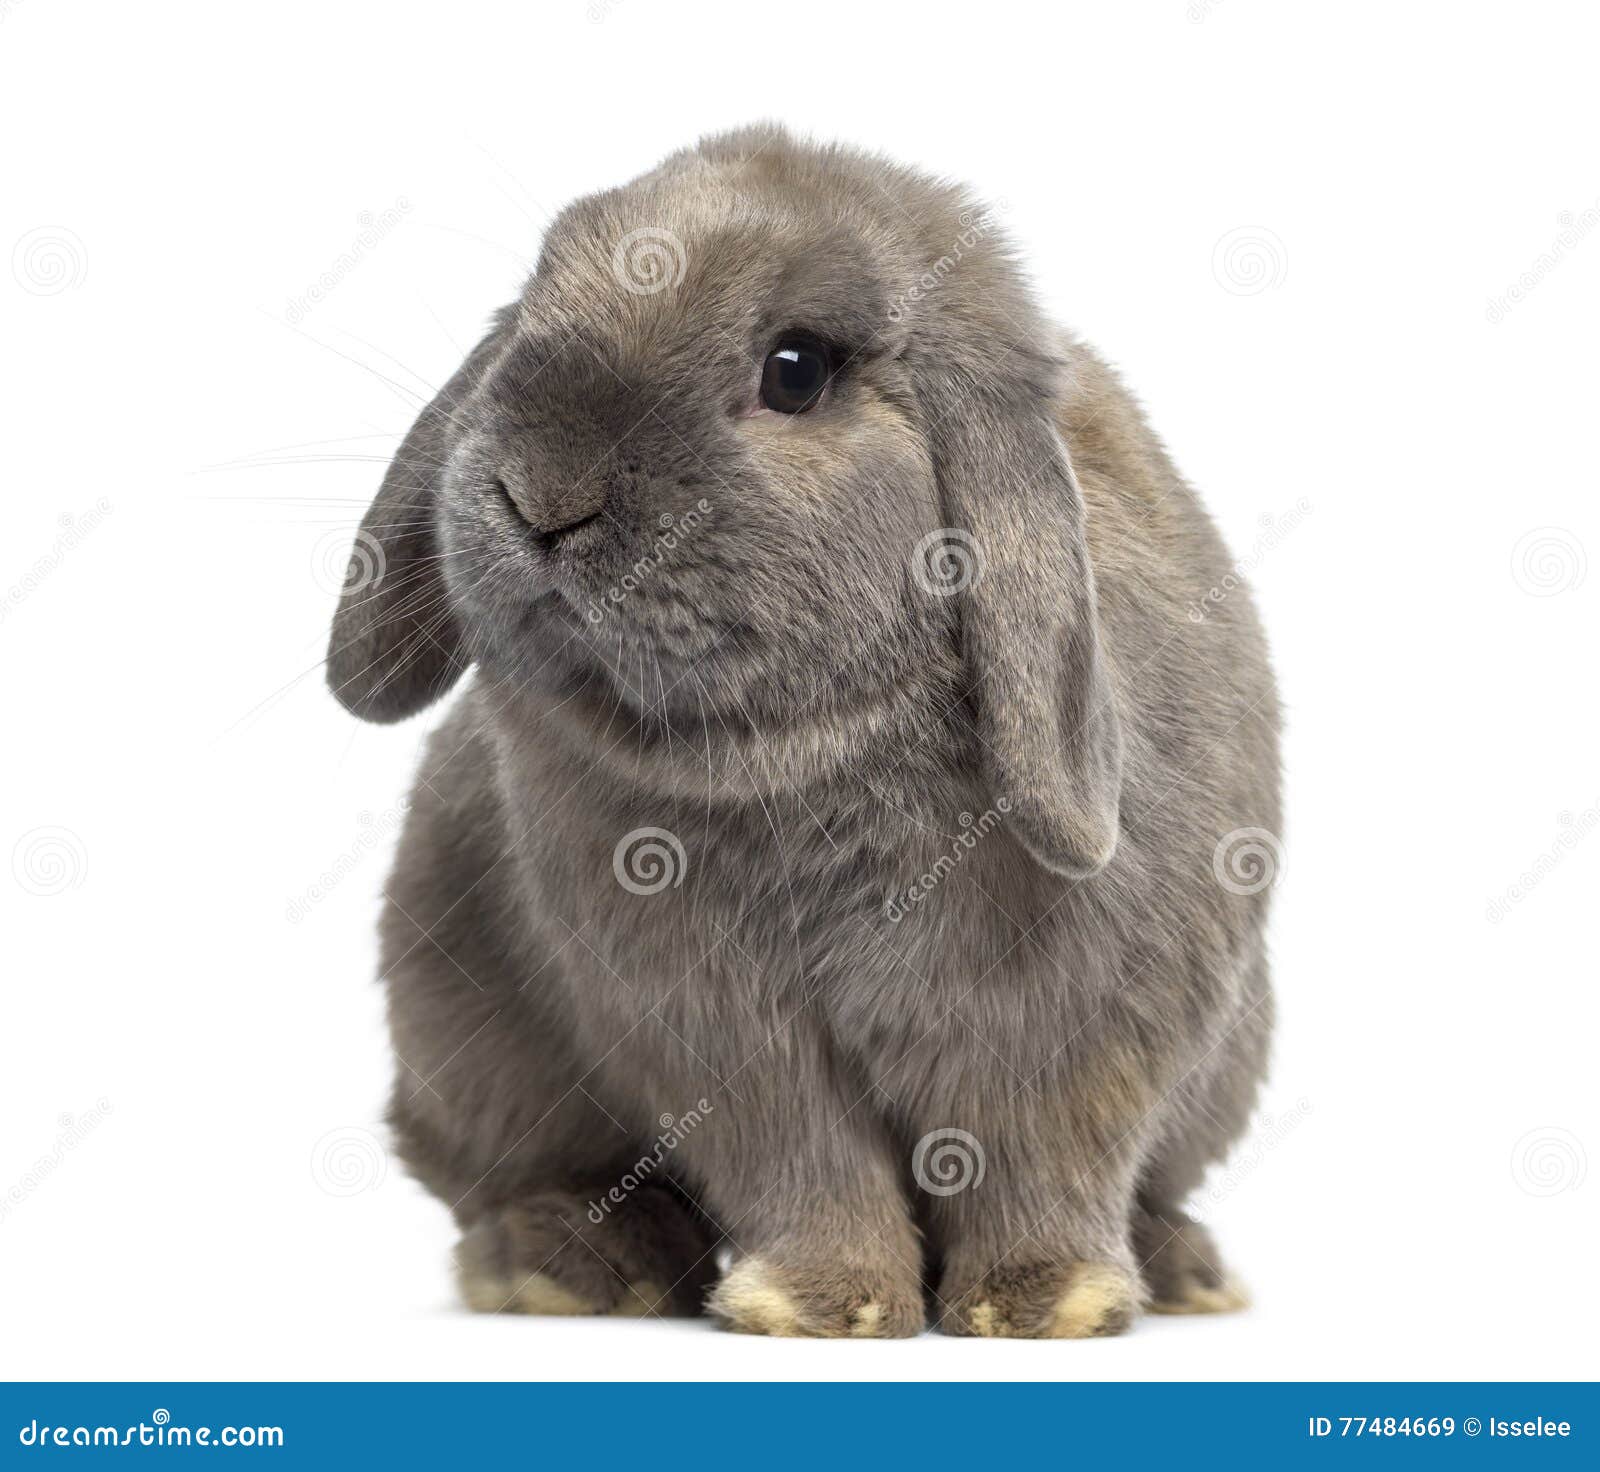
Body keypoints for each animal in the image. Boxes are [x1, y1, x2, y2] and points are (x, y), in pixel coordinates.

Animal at [326, 125, 1281, 1338]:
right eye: (530, 315)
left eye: (796, 367)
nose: (540, 495)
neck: (812, 752)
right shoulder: (713, 1024)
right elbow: (797, 1153)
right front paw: (822, 1305)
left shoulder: (1088, 1016)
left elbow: (1044, 1148)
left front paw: (1043, 1302)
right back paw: (569, 1267)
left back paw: (1184, 1269)